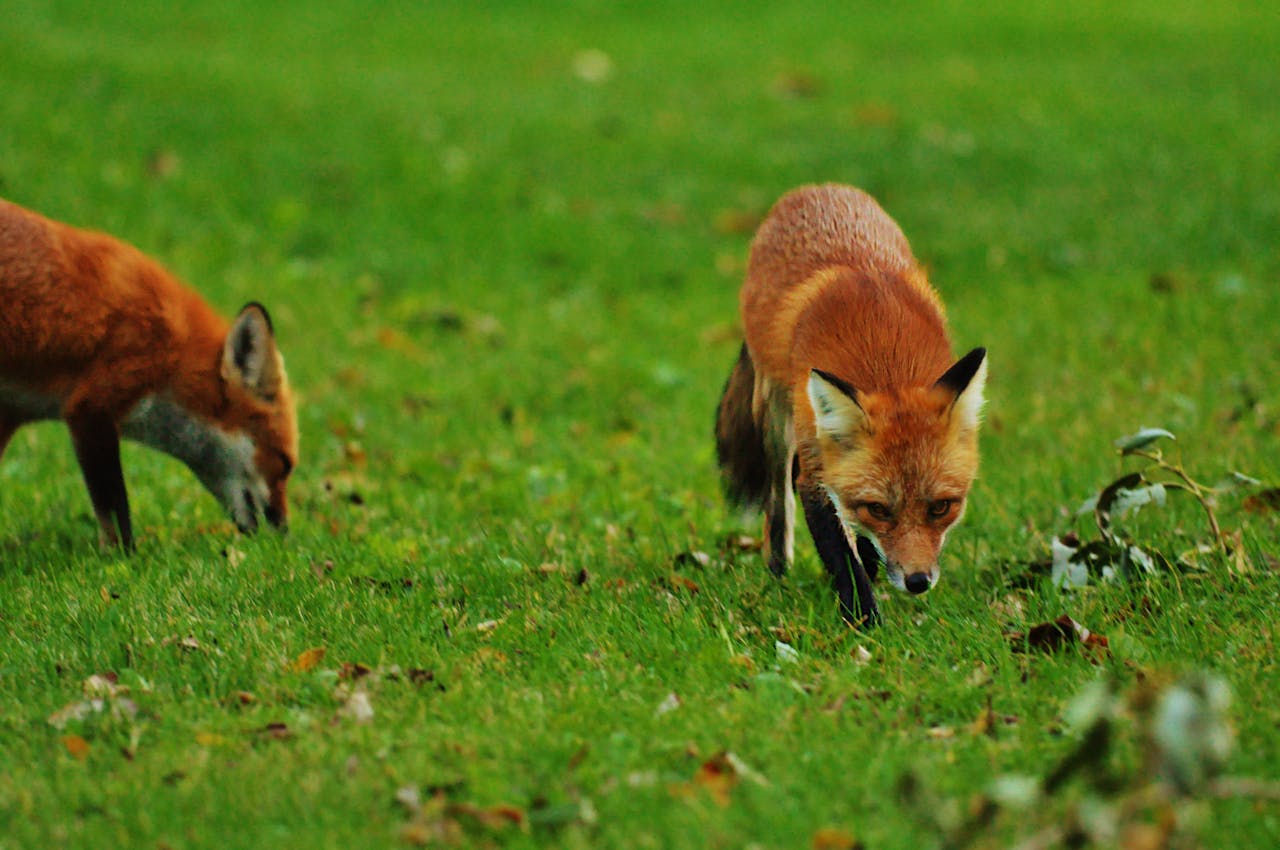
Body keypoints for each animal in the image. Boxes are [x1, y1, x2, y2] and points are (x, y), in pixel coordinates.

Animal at [0, 197, 298, 549]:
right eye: (284, 463)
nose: (285, 534)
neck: (176, 354)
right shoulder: (92, 407)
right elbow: (116, 510)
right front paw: (124, 556)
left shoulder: (10, 412)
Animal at [715, 184, 987, 626]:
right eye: (879, 509)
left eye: (941, 507)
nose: (917, 582)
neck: (883, 356)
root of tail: (816, 188)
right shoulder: (815, 467)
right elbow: (840, 553)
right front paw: (865, 620)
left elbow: (856, 538)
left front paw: (870, 577)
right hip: (776, 420)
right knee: (778, 502)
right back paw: (778, 572)